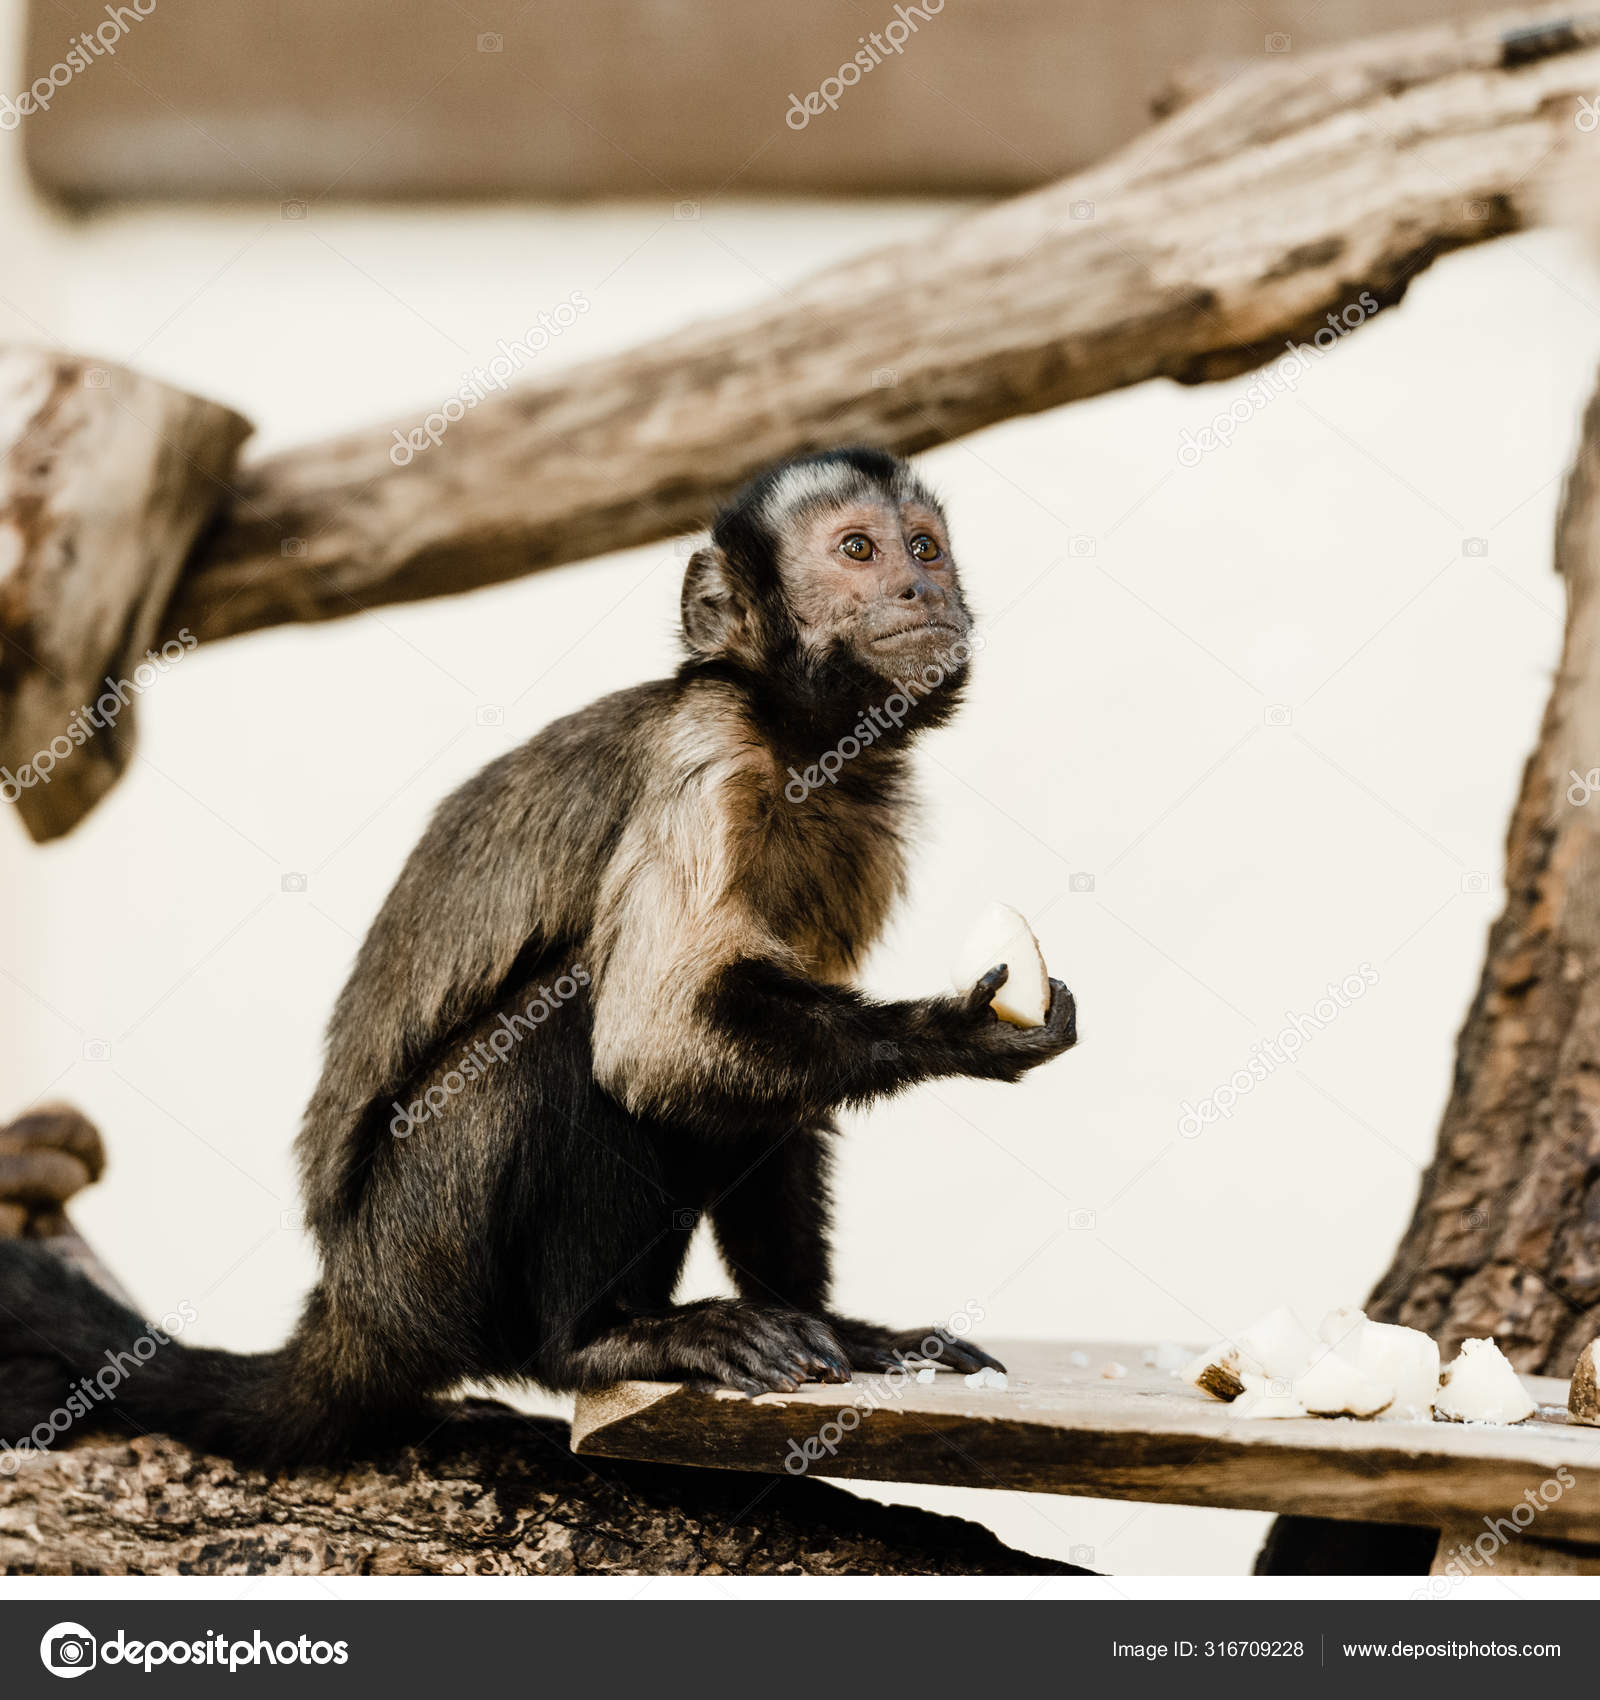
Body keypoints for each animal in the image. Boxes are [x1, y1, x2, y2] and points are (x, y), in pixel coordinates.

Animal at [0, 447, 1077, 1469]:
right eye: (859, 550)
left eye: (925, 547)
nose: (922, 591)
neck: (795, 740)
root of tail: (350, 1306)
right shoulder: (705, 764)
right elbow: (651, 1042)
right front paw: (958, 1033)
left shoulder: (863, 831)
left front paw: (845, 1330)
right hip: (426, 1253)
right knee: (563, 1030)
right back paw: (600, 1341)